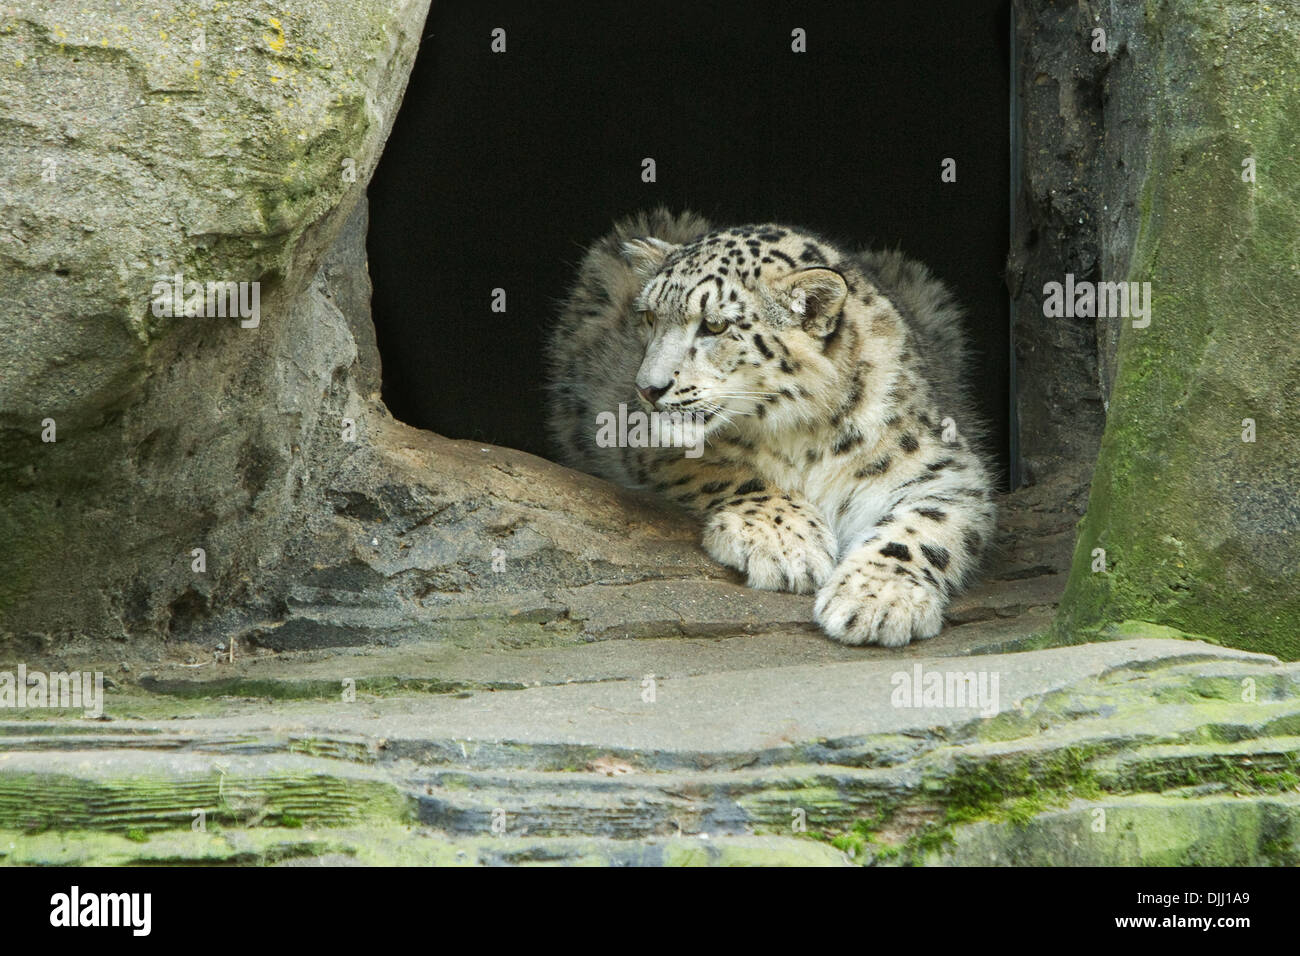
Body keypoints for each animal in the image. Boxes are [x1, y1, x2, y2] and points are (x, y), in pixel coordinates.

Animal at [546, 208, 995, 647]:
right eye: (649, 316)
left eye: (715, 325)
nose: (647, 388)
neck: (807, 438)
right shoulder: (638, 438)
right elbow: (726, 471)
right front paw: (786, 545)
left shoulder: (944, 468)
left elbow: (924, 525)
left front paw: (878, 599)